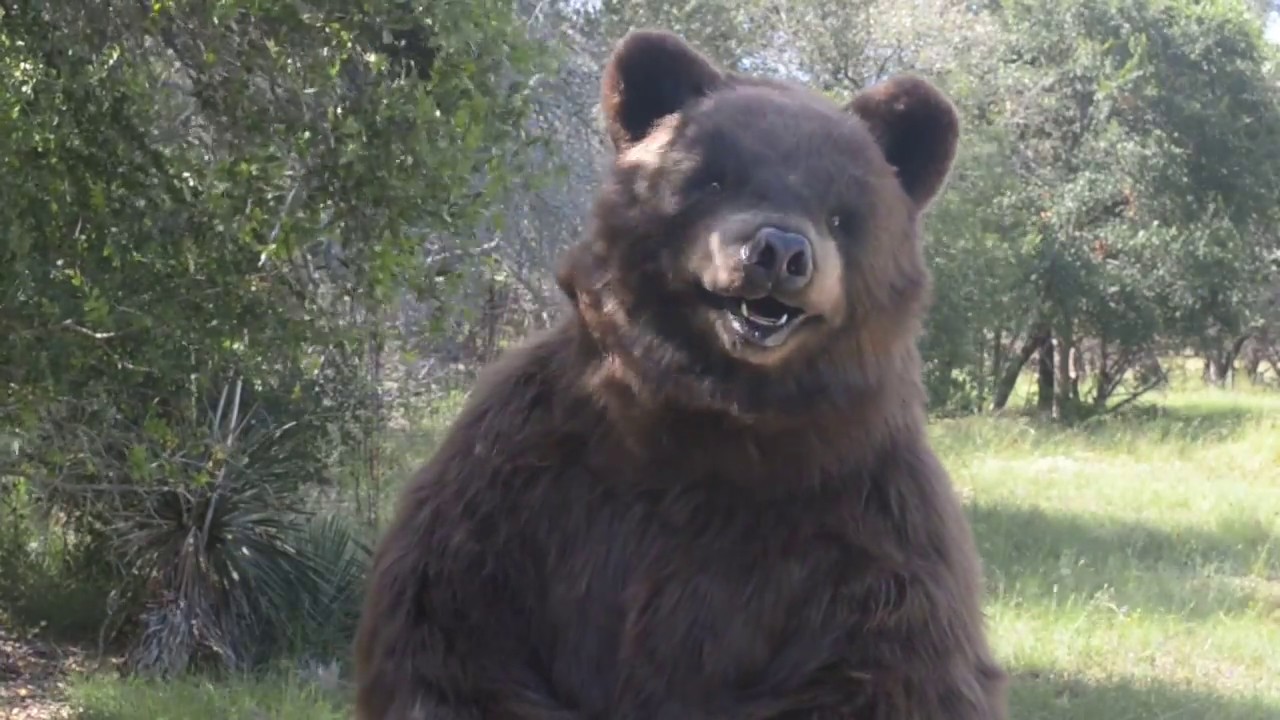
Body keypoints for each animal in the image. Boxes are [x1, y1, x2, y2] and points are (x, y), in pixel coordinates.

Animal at [353, 28, 1008, 720]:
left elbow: (887, 664)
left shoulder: (869, 512)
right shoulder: (525, 463)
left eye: (841, 212)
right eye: (715, 179)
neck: (707, 424)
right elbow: (452, 618)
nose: (780, 251)